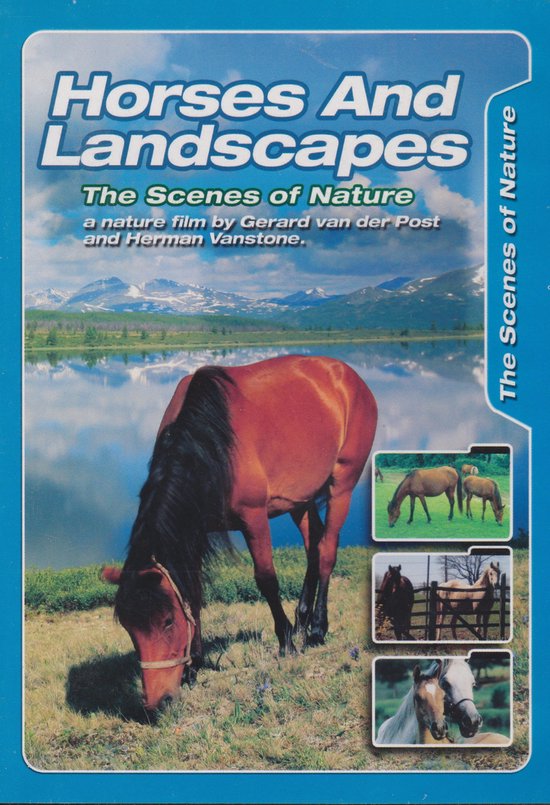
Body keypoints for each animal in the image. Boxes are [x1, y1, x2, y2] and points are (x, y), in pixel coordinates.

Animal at [101, 355, 377, 711]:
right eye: (130, 629)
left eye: (167, 622)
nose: (157, 702)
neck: (208, 443)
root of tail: (349, 375)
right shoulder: (195, 528)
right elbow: (193, 592)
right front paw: (194, 664)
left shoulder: (254, 517)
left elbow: (267, 579)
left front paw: (285, 642)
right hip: (298, 499)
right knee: (313, 544)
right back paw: (302, 618)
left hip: (342, 483)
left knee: (327, 549)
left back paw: (315, 628)